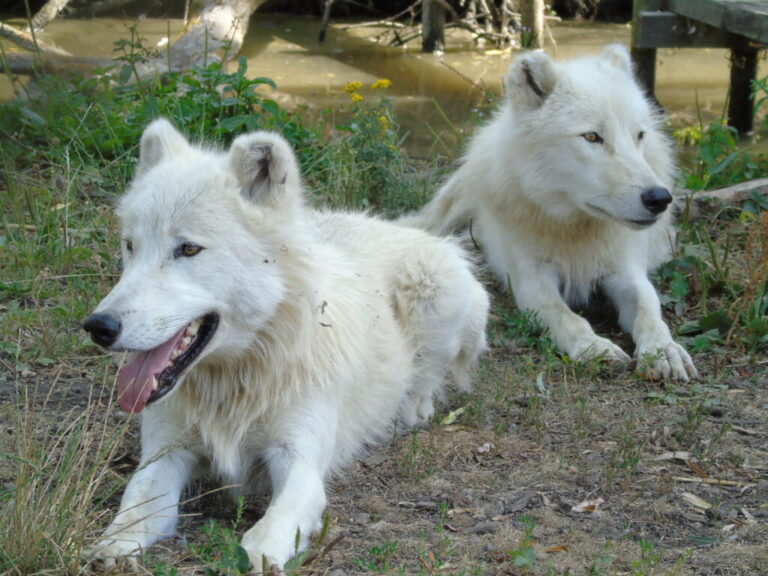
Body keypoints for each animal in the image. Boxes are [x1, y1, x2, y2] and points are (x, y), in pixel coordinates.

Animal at [82, 119, 489, 570]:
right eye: (130, 246)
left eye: (188, 249)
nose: (98, 326)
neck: (237, 378)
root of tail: (405, 228)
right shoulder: (165, 454)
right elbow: (132, 510)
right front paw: (110, 548)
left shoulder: (299, 463)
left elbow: (263, 539)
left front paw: (257, 555)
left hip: (437, 295)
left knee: (429, 376)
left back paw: (409, 410)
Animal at [404, 44, 696, 381]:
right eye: (592, 137)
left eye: (639, 135)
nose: (659, 198)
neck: (574, 227)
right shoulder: (531, 279)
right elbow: (567, 317)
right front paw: (594, 347)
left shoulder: (626, 271)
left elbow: (650, 309)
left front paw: (665, 350)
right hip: (451, 208)